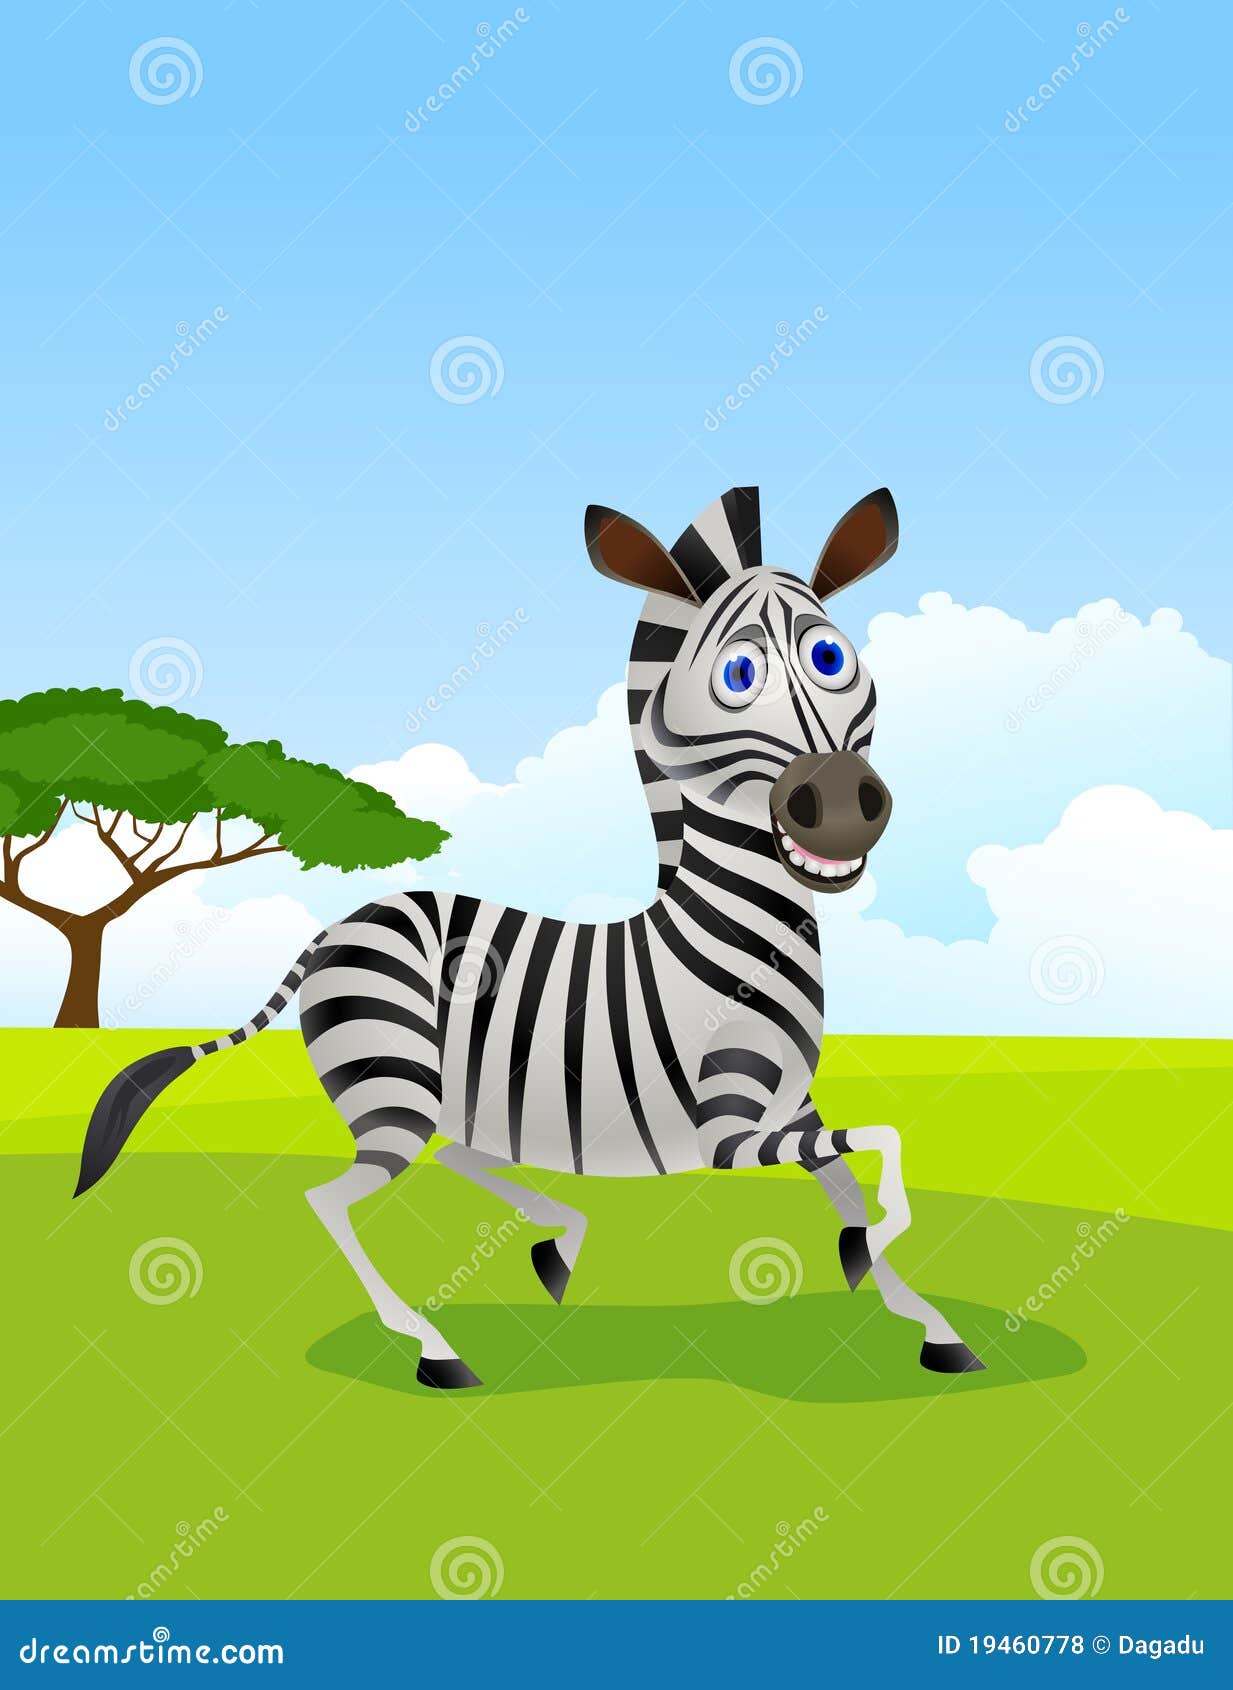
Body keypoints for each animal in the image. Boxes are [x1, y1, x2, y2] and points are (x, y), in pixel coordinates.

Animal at [76, 485, 985, 1388]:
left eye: (831, 656)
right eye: (738, 674)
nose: (839, 806)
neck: (733, 937)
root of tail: (339, 923)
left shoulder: (791, 1104)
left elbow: (851, 1180)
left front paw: (915, 1311)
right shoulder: (728, 1128)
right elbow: (883, 1151)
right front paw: (880, 1255)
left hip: (440, 1092)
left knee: (457, 1156)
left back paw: (557, 1244)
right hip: (393, 1084)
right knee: (332, 1198)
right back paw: (436, 1346)